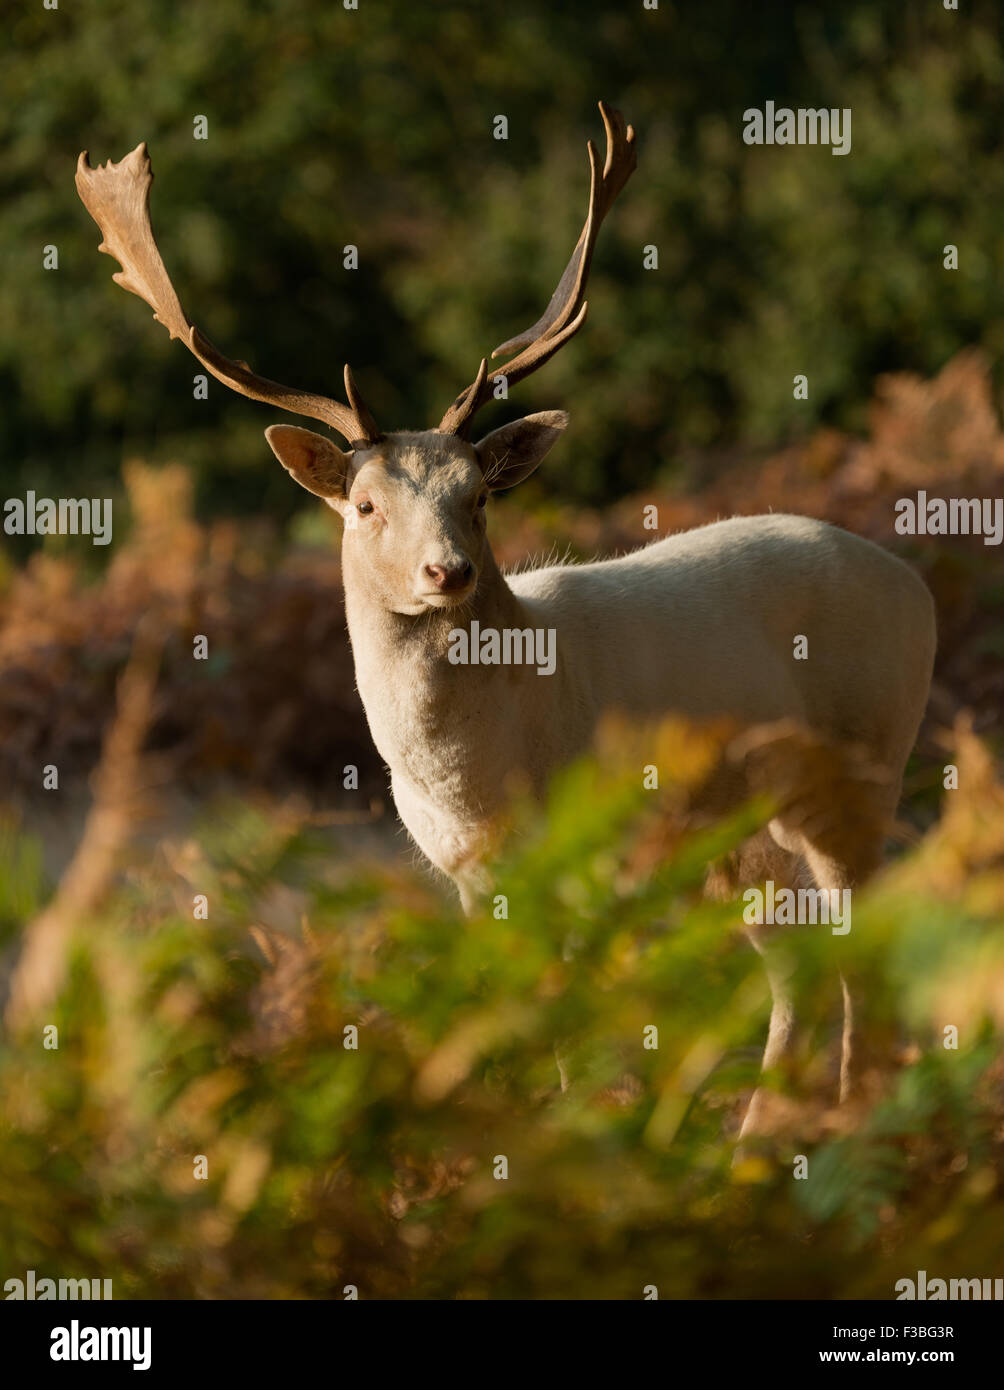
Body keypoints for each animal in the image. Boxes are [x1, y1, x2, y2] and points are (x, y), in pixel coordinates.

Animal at [76, 102, 937, 1139]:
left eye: (478, 495)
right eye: (364, 504)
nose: (446, 571)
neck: (470, 776)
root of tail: (917, 584)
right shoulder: (465, 872)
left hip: (868, 764)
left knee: (866, 940)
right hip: (745, 830)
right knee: (795, 963)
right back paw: (765, 1137)